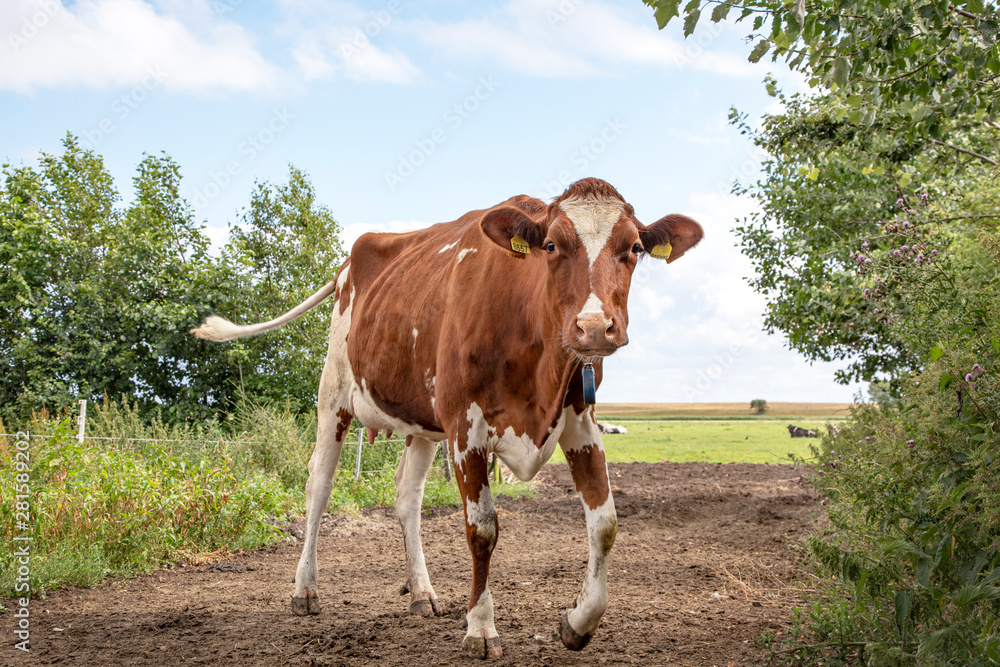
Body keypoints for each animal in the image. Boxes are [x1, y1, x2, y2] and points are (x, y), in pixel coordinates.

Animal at [190, 178, 703, 658]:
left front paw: (578, 622)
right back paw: (305, 589)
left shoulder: (581, 424)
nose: (594, 328)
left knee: (407, 493)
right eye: (552, 245)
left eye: (634, 248)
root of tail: (347, 264)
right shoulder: (465, 429)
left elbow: (605, 525)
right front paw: (480, 627)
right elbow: (482, 529)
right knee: (319, 483)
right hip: (333, 393)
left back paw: (421, 592)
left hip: (423, 420)